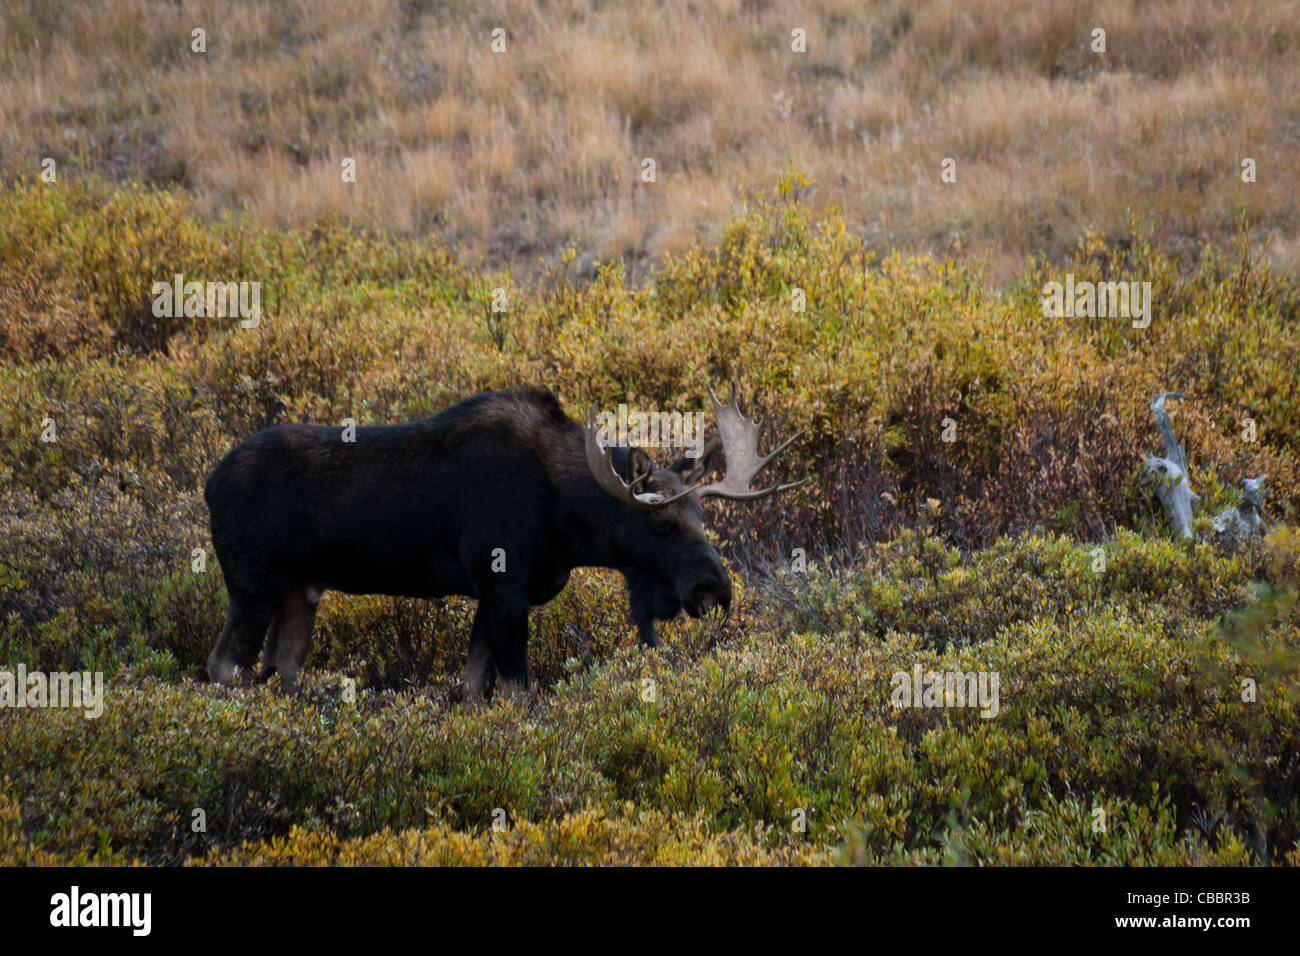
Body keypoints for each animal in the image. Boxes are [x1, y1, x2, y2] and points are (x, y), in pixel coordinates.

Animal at [203, 386, 804, 697]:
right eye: (662, 524)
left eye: (702, 512)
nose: (717, 589)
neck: (569, 526)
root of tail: (209, 484)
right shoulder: (504, 586)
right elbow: (520, 690)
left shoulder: (491, 596)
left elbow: (473, 688)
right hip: (252, 585)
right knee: (222, 665)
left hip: (299, 591)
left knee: (281, 668)